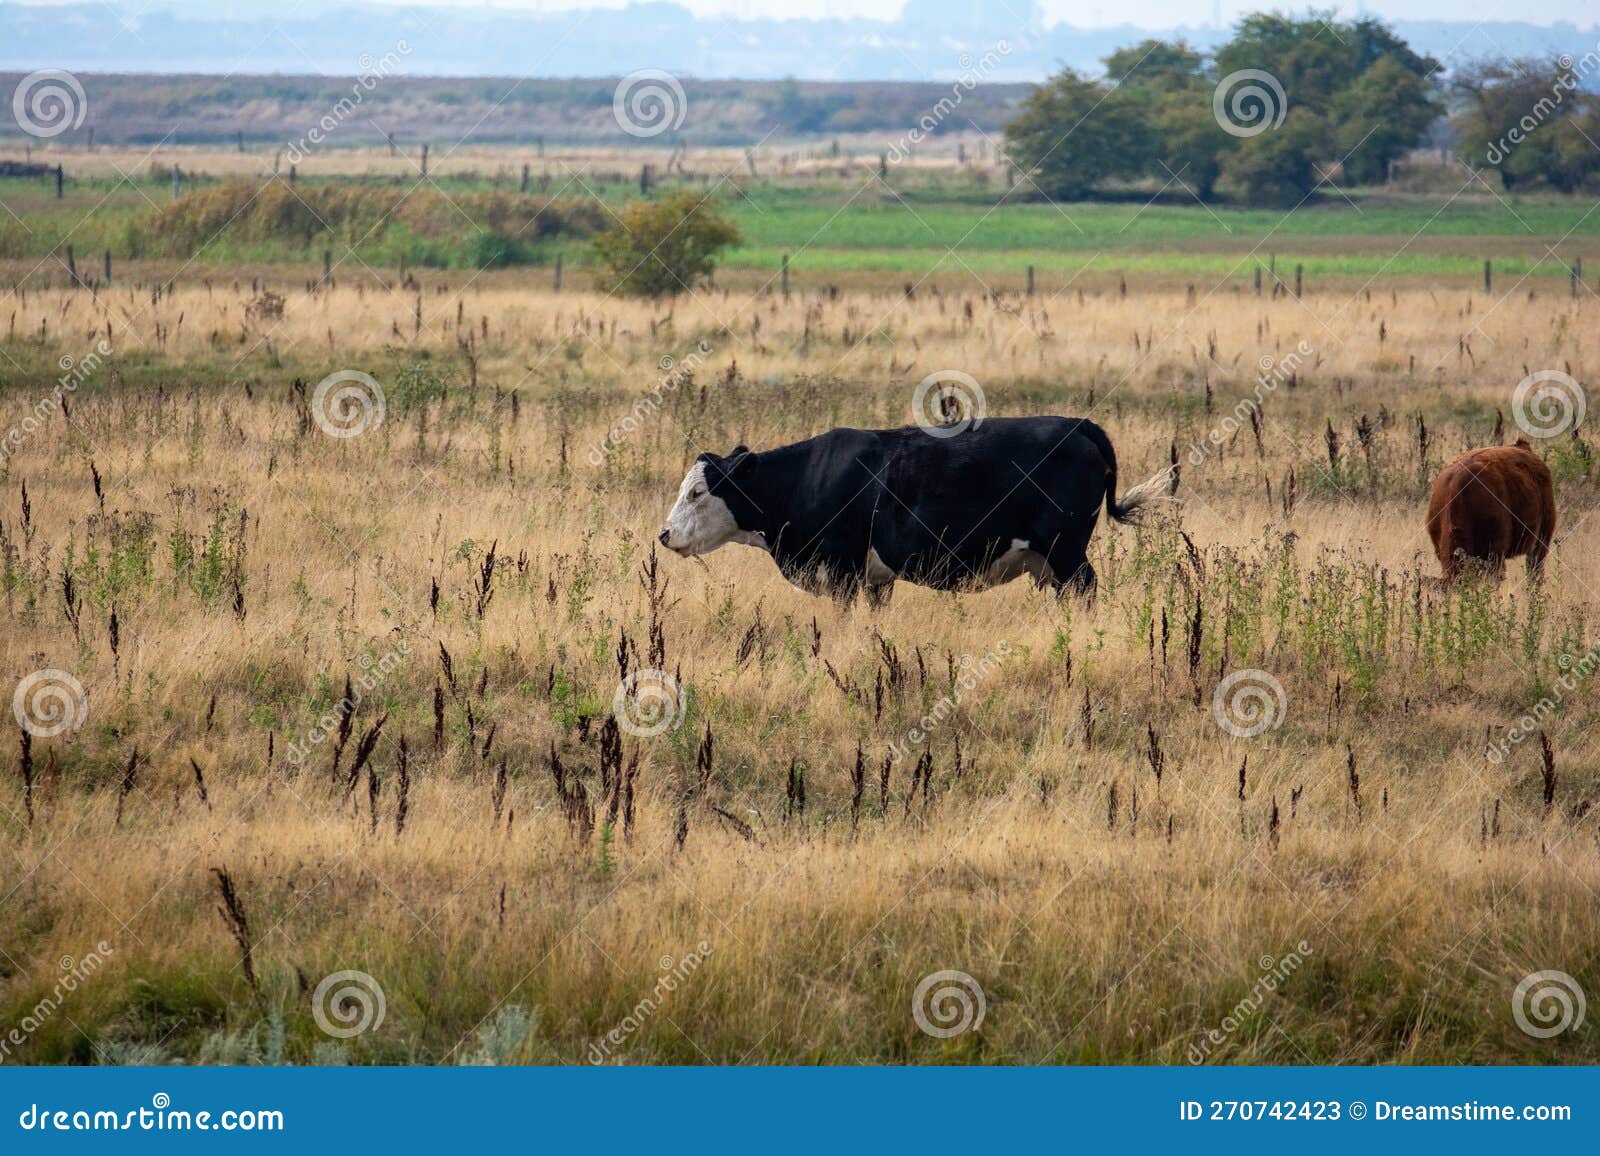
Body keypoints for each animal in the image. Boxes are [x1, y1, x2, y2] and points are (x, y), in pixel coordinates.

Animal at [657, 417, 1171, 603]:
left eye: (697, 493)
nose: (663, 535)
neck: (808, 478)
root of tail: (1075, 424)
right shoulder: (874, 580)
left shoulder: (841, 572)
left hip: (1067, 552)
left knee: (1084, 590)